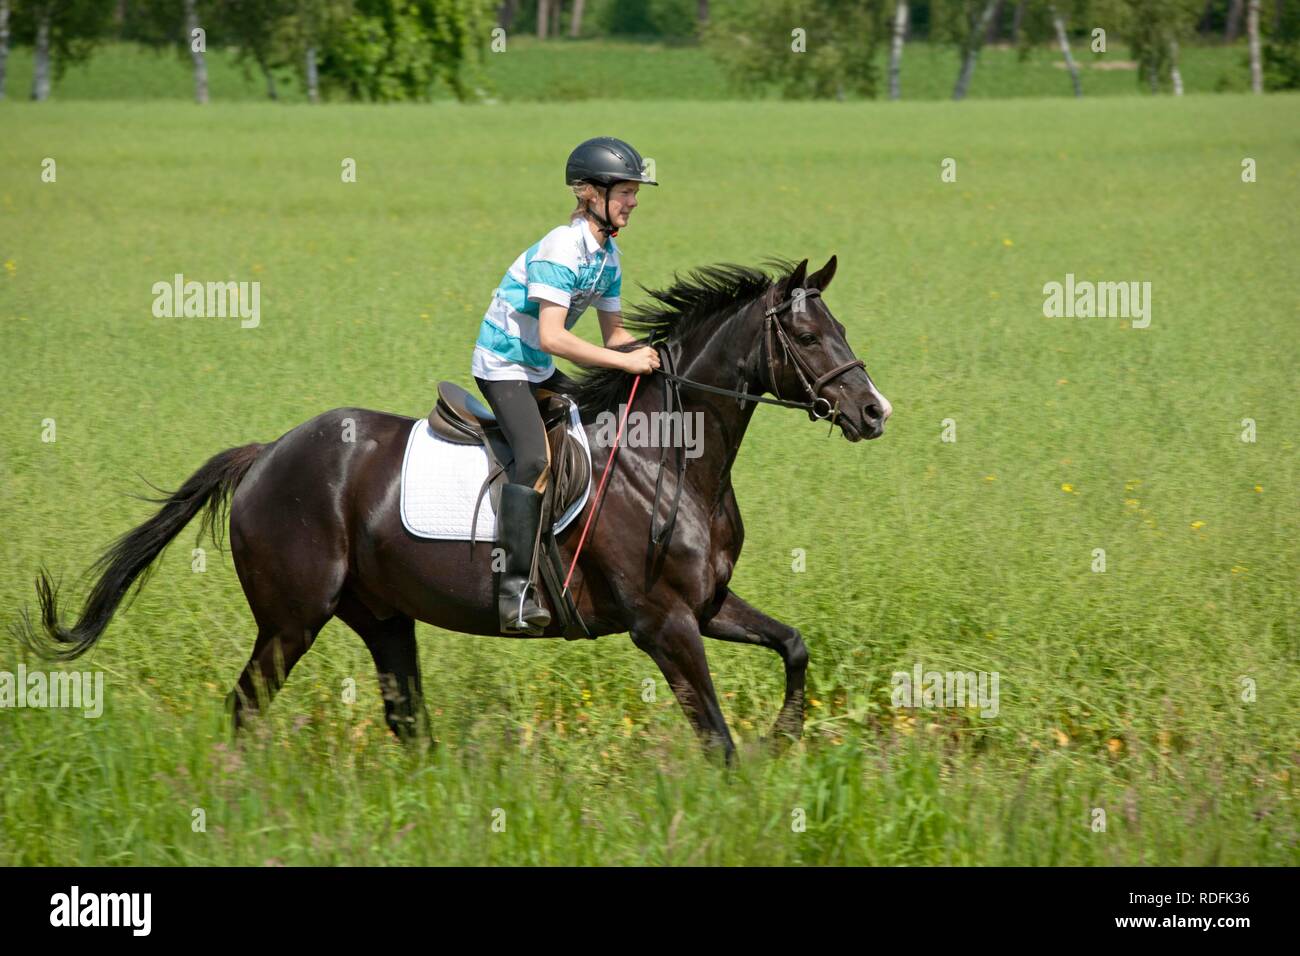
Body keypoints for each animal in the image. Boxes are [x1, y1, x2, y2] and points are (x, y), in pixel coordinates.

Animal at [14, 255, 891, 764]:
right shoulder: (663, 624)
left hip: (380, 617)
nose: (875, 410)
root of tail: (265, 454)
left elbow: (794, 646)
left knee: (407, 723)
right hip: (292, 618)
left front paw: (786, 736)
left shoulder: (706, 605)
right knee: (244, 709)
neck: (667, 461)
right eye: (807, 335)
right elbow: (715, 738)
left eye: (842, 324)